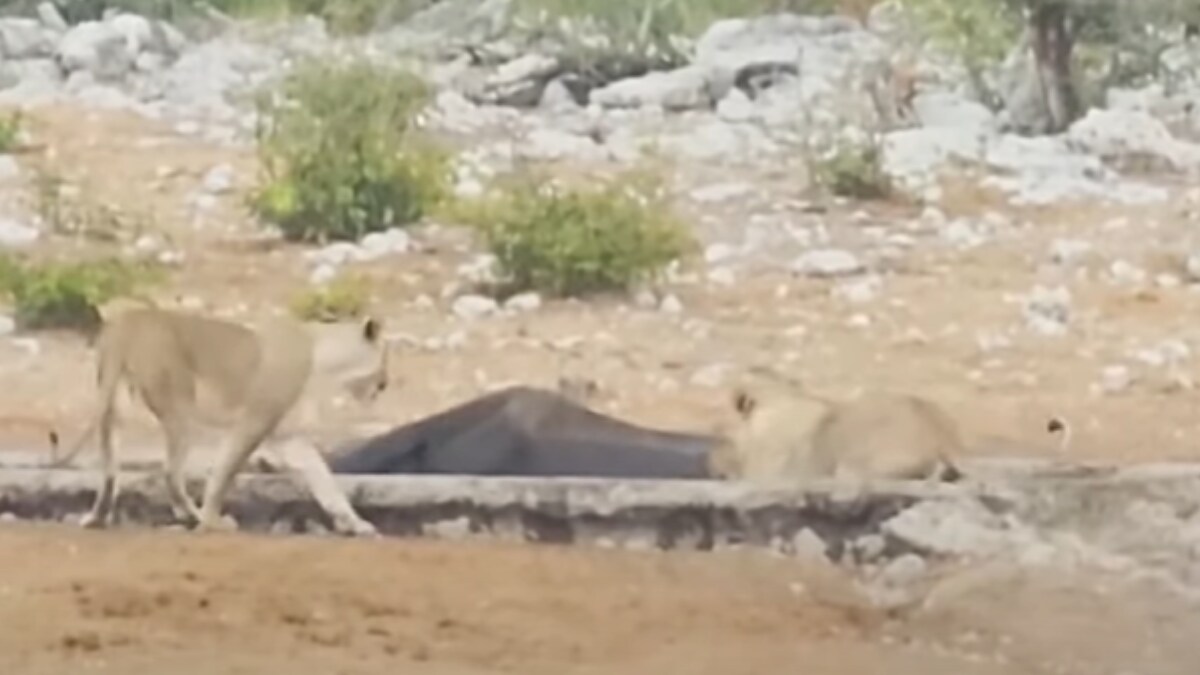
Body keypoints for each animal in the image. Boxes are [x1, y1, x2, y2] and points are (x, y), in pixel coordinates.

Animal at [49, 305, 389, 536]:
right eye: (385, 359)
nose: (386, 383)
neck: (326, 361)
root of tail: (127, 321)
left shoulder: (289, 438)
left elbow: (325, 481)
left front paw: (356, 523)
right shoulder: (253, 422)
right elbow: (224, 471)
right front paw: (212, 518)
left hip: (113, 406)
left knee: (110, 471)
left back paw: (96, 519)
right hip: (179, 407)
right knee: (170, 472)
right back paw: (196, 518)